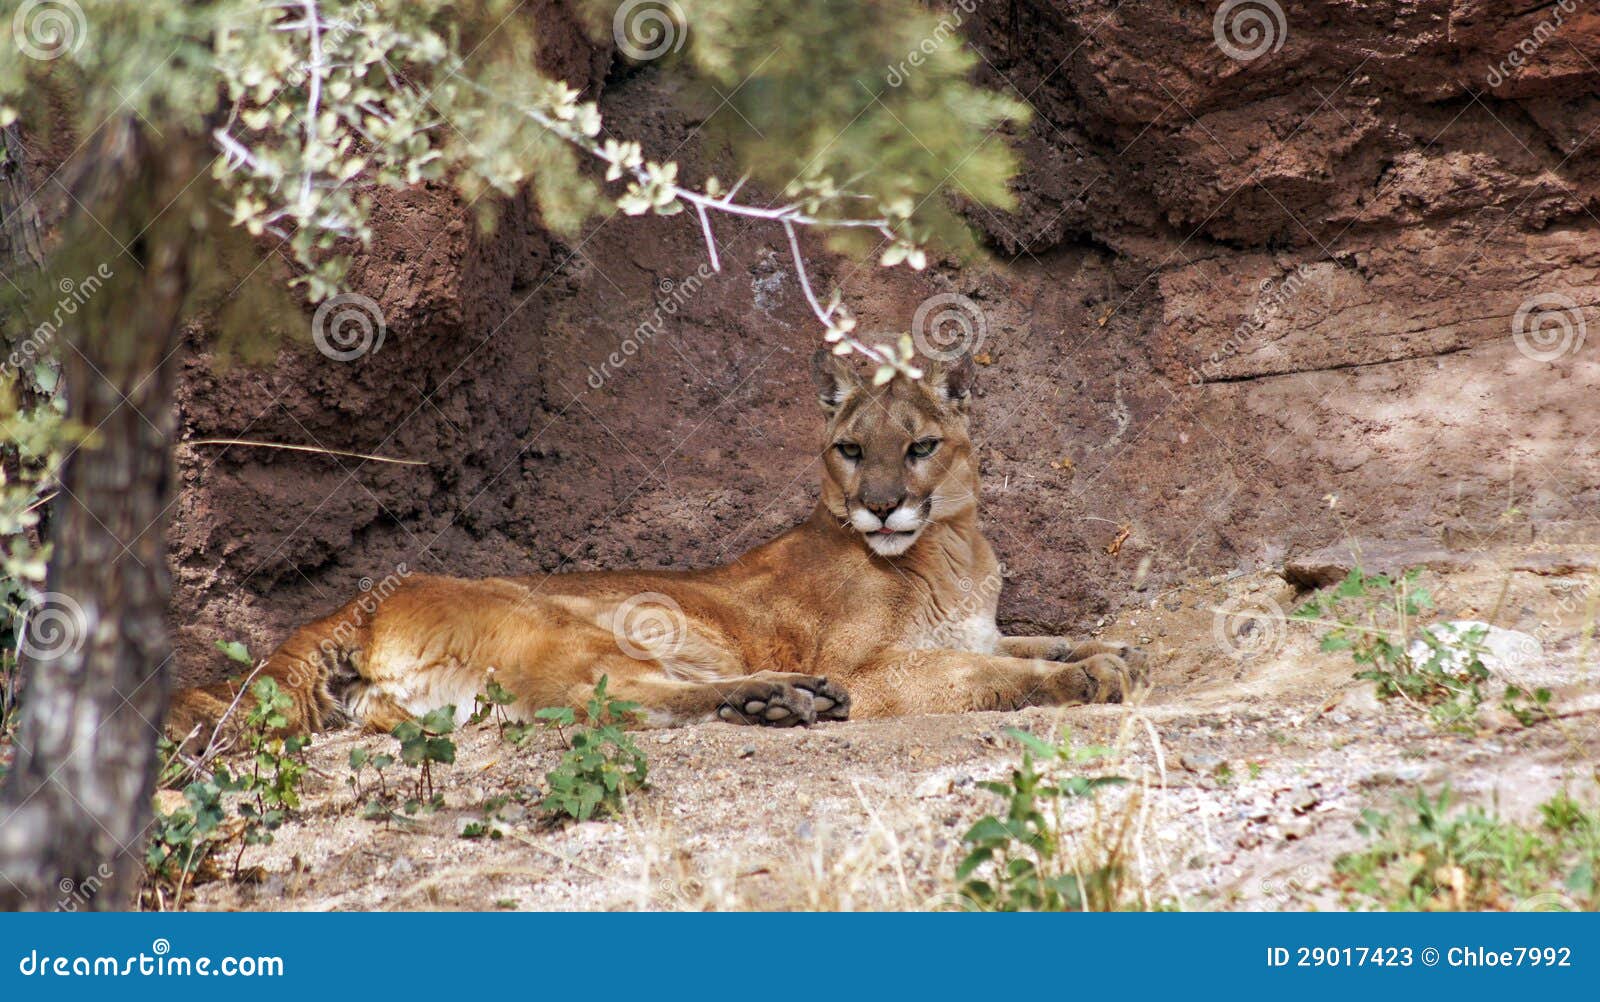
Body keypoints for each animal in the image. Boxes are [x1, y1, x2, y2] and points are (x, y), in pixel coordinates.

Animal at [168, 351, 1146, 740]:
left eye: (918, 447)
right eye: (849, 449)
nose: (878, 509)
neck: (953, 545)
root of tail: (358, 603)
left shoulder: (977, 620)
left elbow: (1022, 636)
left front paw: (1103, 646)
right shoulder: (876, 669)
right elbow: (987, 671)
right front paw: (1087, 675)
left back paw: (771, 704)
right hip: (560, 622)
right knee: (609, 701)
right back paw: (782, 696)